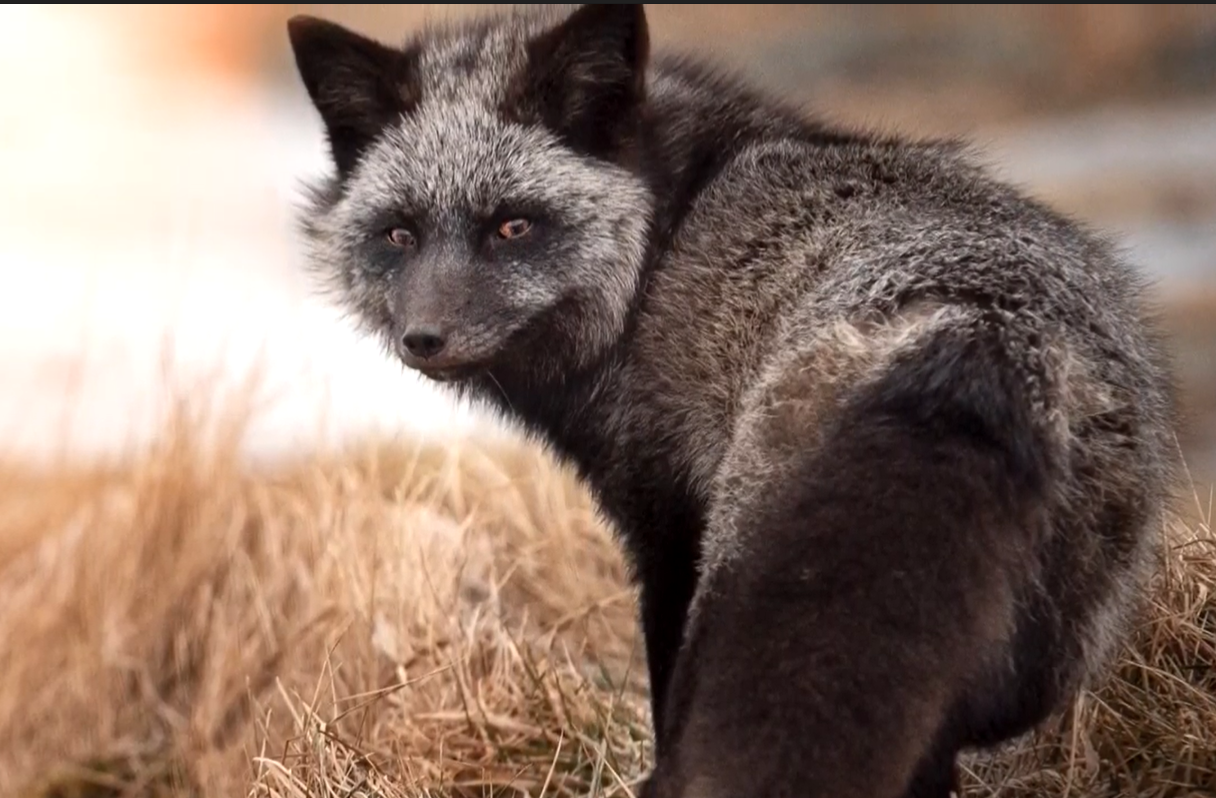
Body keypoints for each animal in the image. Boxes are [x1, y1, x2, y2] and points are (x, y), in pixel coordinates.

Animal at [286, 5, 1177, 797]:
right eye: (399, 234)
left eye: (512, 227)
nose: (423, 339)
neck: (659, 247)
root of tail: (974, 333)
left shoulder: (667, 530)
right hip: (1040, 655)